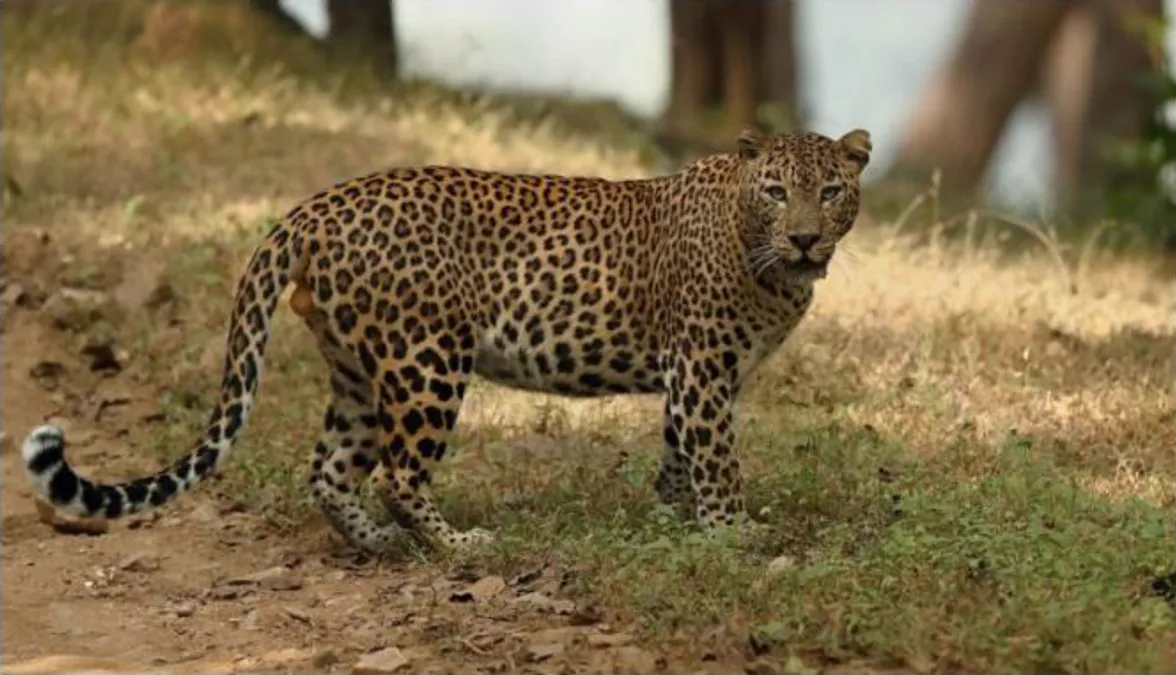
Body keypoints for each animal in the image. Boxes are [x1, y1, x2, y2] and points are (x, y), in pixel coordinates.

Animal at [22, 126, 872, 553]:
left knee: (329, 470)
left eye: (831, 190)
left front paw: (673, 520)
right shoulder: (698, 368)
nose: (804, 237)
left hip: (358, 371)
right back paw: (459, 544)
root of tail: (311, 207)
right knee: (399, 473)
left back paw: (377, 544)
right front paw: (732, 535)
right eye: (777, 191)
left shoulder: (695, 378)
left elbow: (679, 455)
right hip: (425, 359)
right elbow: (719, 460)